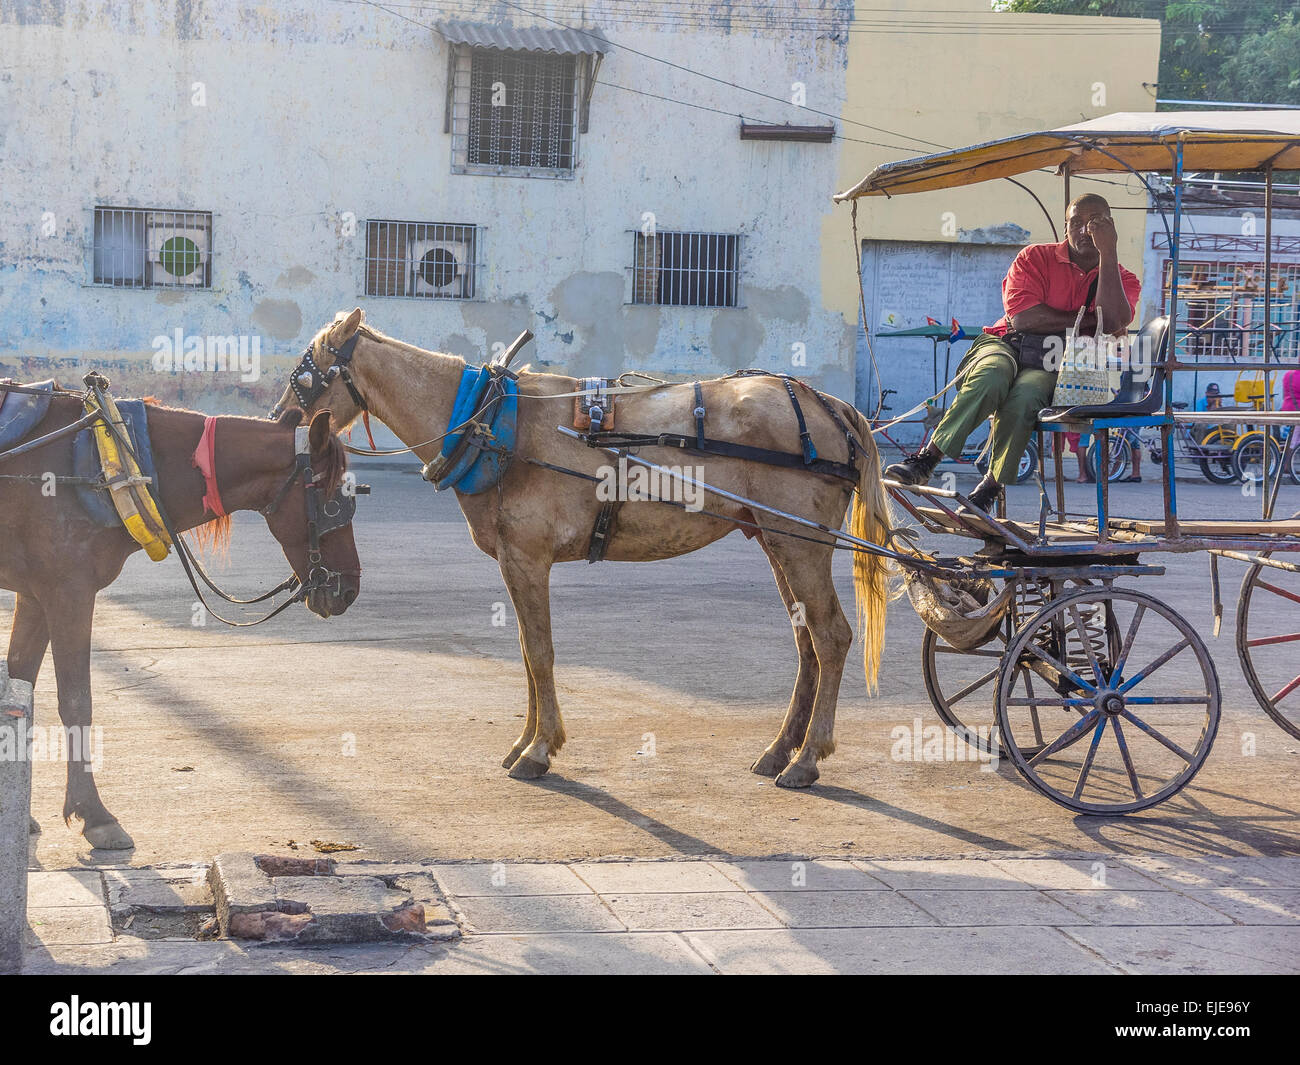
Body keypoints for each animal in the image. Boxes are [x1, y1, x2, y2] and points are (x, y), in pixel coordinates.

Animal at [0, 386, 361, 849]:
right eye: (335, 502)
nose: (348, 588)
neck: (119, 456)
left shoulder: (34, 595)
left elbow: (20, 689)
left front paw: (21, 815)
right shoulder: (68, 593)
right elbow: (76, 700)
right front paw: (95, 815)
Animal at [275, 308, 893, 789]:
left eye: (308, 374)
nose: (280, 421)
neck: (488, 420)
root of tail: (831, 407)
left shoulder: (527, 557)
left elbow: (540, 653)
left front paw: (538, 750)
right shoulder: (516, 562)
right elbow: (527, 652)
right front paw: (526, 741)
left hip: (801, 543)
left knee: (831, 637)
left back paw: (807, 760)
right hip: (776, 537)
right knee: (807, 642)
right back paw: (780, 749)